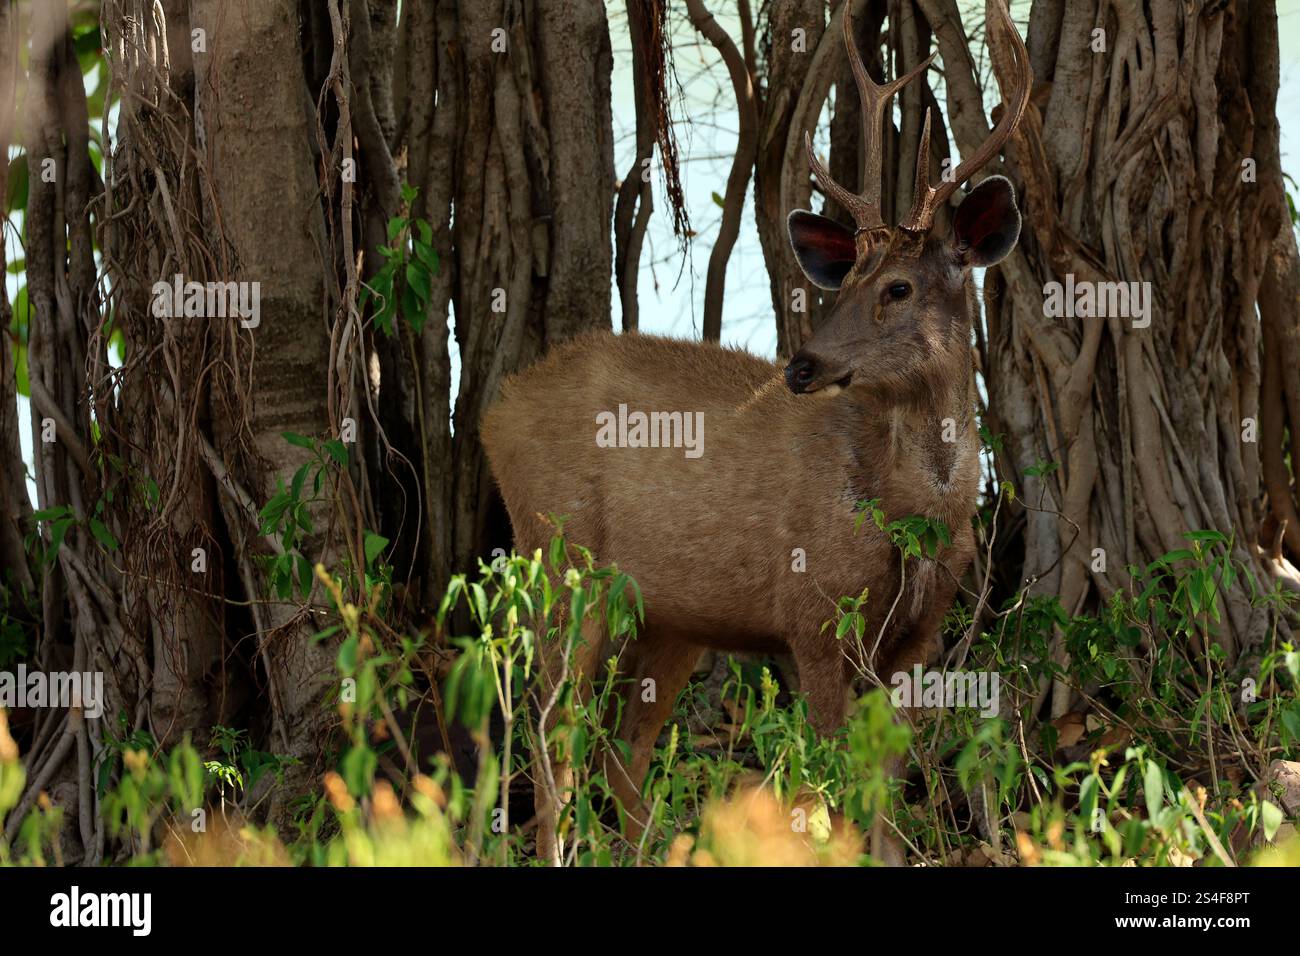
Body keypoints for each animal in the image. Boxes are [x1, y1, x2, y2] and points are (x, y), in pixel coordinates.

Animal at [480, 0, 1031, 865]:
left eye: (898, 288)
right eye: (846, 280)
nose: (802, 365)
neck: (912, 512)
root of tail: (492, 412)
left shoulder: (921, 634)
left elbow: (883, 793)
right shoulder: (813, 615)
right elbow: (837, 783)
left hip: (672, 615)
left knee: (620, 754)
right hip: (561, 554)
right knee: (552, 735)